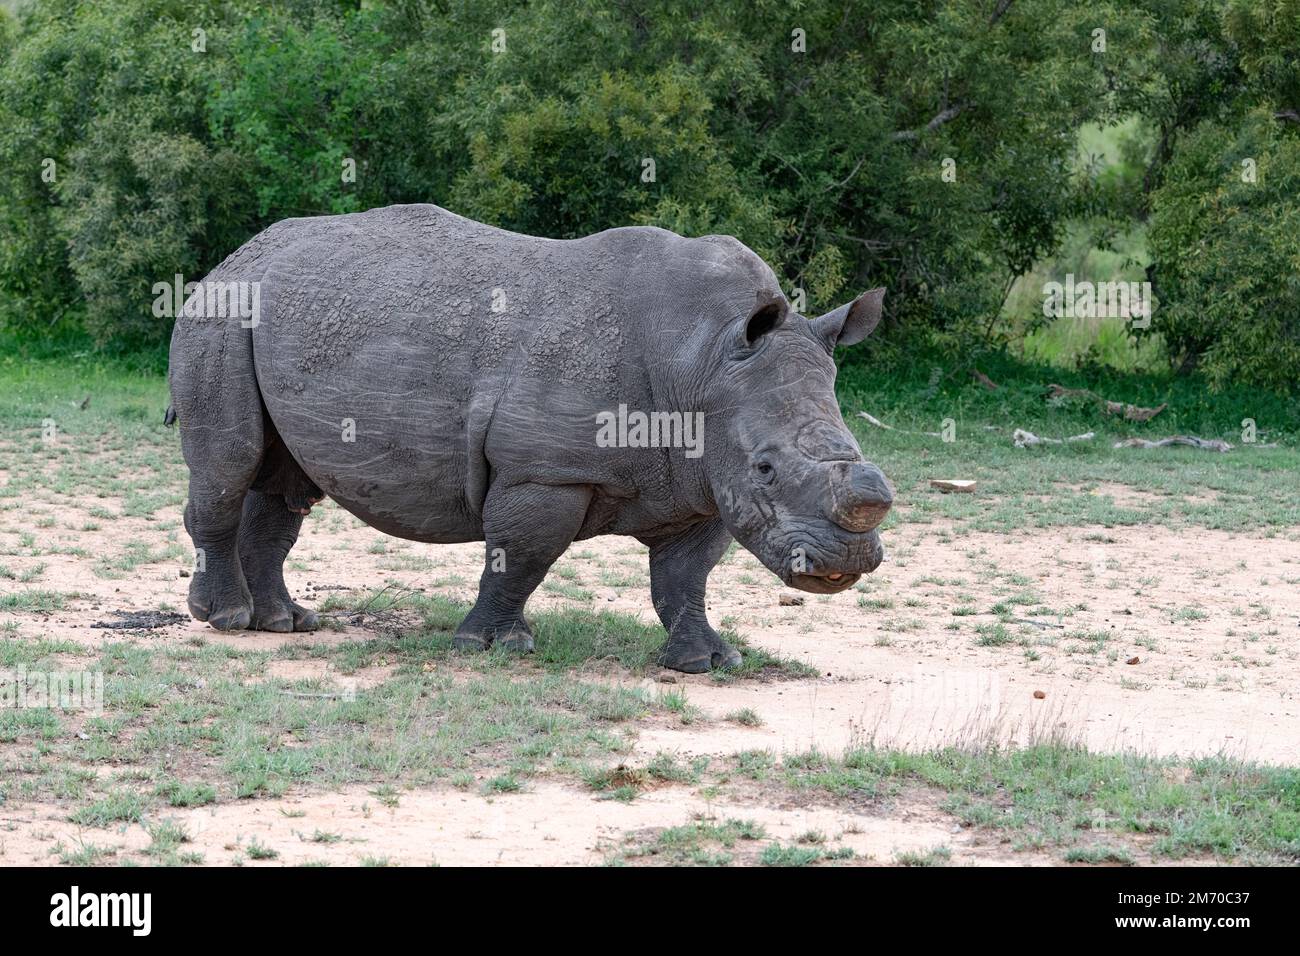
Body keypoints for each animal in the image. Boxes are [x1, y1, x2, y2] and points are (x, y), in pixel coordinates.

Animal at [168, 204, 892, 672]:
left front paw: (709, 662)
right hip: (222, 315)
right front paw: (492, 650)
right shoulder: (544, 470)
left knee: (283, 485)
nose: (845, 560)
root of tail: (233, 257)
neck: (707, 361)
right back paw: (227, 620)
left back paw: (283, 623)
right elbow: (521, 555)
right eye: (766, 467)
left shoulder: (704, 479)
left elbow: (686, 576)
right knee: (229, 464)